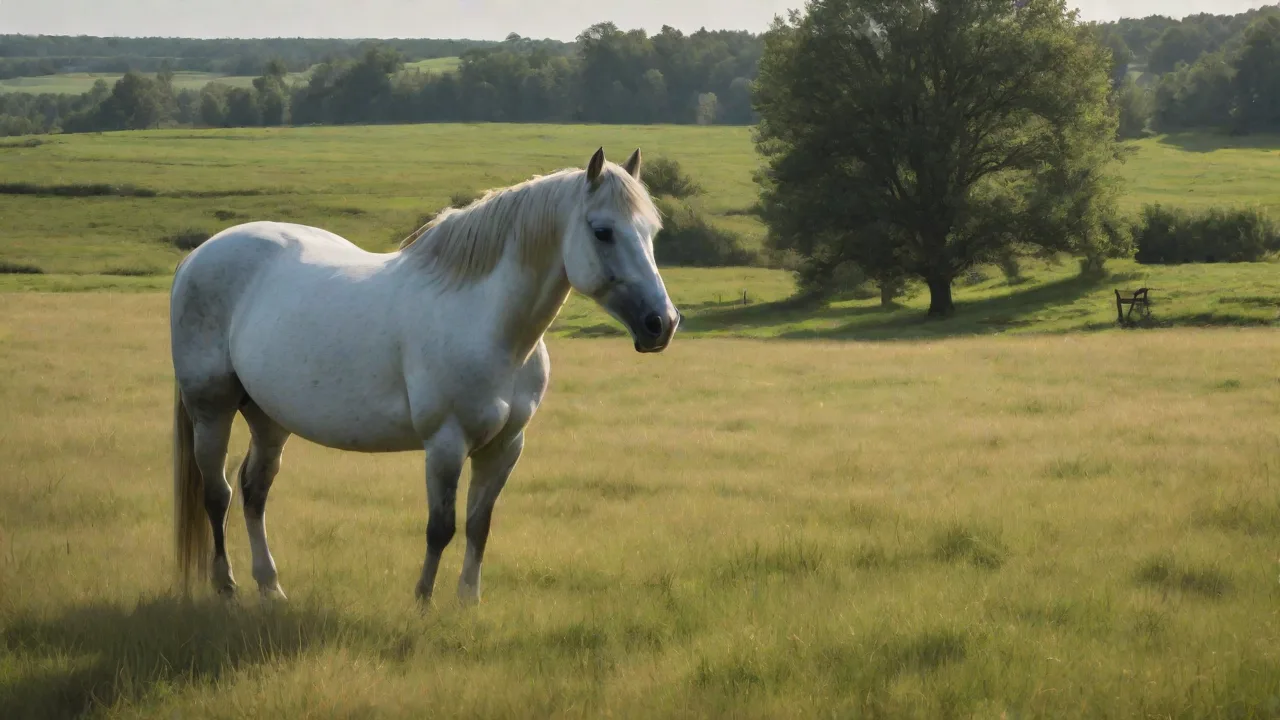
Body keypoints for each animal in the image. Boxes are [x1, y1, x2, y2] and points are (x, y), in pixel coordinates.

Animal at [170, 147, 680, 606]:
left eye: (652, 231)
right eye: (603, 231)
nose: (662, 323)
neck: (486, 322)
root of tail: (197, 257)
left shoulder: (505, 446)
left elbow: (478, 524)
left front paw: (468, 601)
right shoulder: (445, 443)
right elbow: (441, 527)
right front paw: (423, 601)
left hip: (269, 417)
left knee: (254, 492)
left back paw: (270, 587)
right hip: (211, 410)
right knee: (218, 494)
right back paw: (226, 586)